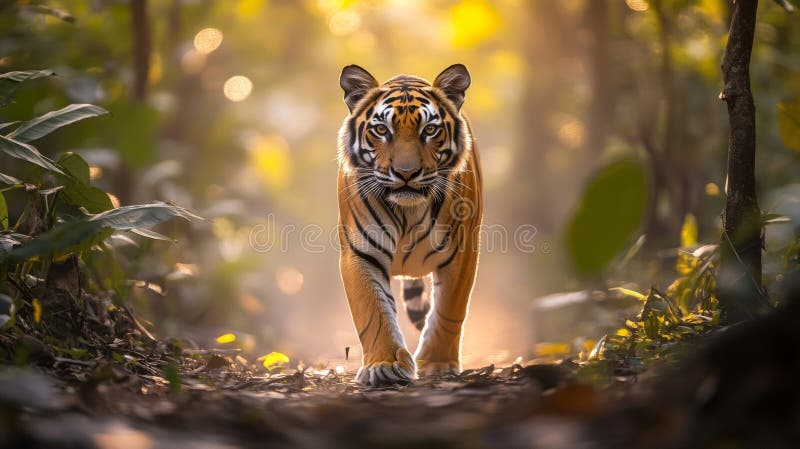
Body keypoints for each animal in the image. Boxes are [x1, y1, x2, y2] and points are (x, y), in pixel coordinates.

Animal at [336, 64, 483, 386]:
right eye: (381, 130)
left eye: (429, 130)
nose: (406, 173)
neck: (408, 212)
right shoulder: (360, 252)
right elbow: (373, 314)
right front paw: (383, 365)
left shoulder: (462, 251)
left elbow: (449, 310)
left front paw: (438, 364)